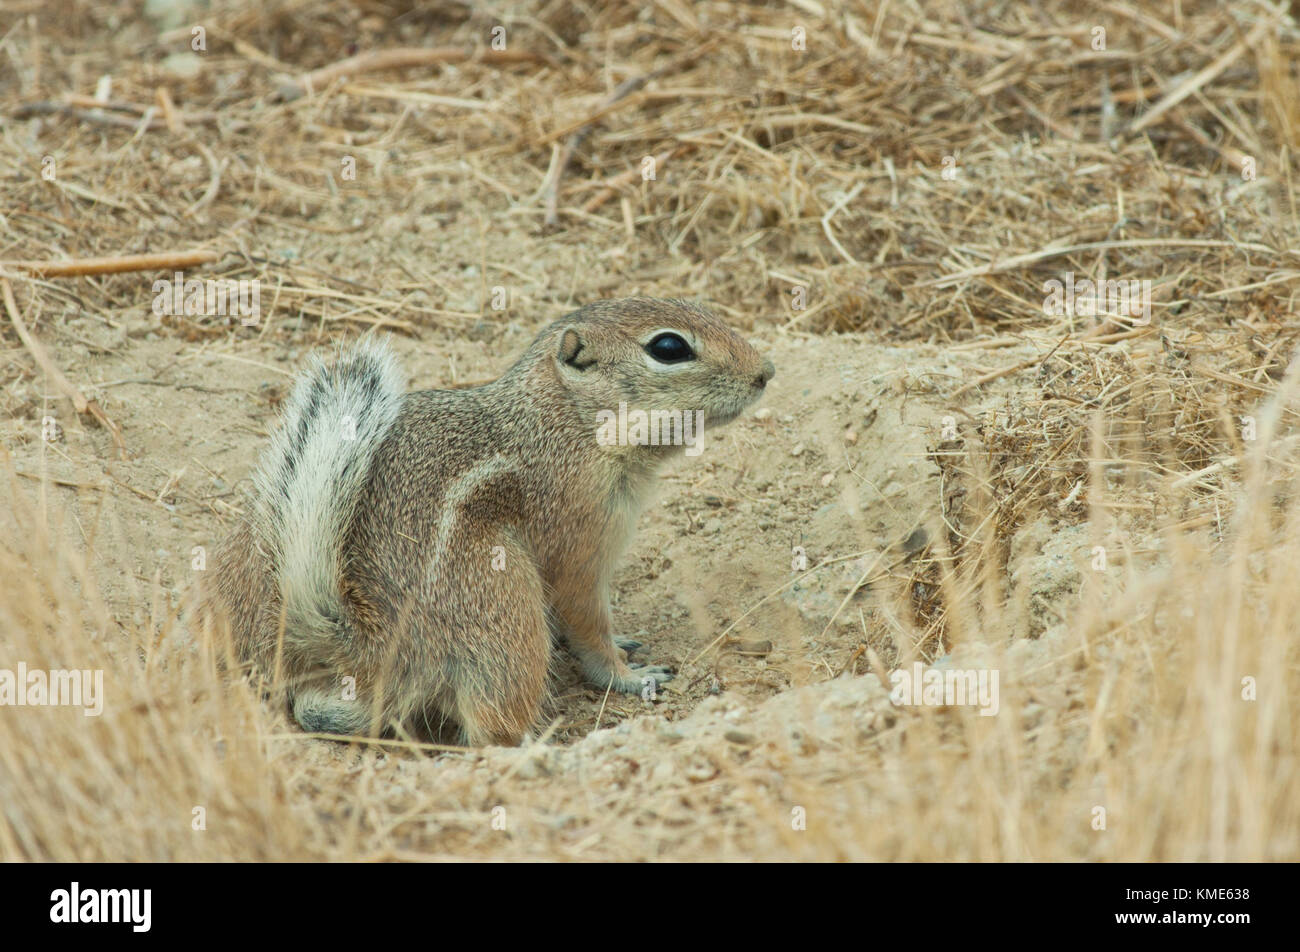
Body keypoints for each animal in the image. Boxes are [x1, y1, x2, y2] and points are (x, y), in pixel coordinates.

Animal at [206, 297, 775, 746]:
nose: (766, 371)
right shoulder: (581, 547)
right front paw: (630, 674)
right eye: (669, 348)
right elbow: (589, 624)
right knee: (491, 726)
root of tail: (367, 641)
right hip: (505, 603)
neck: (567, 422)